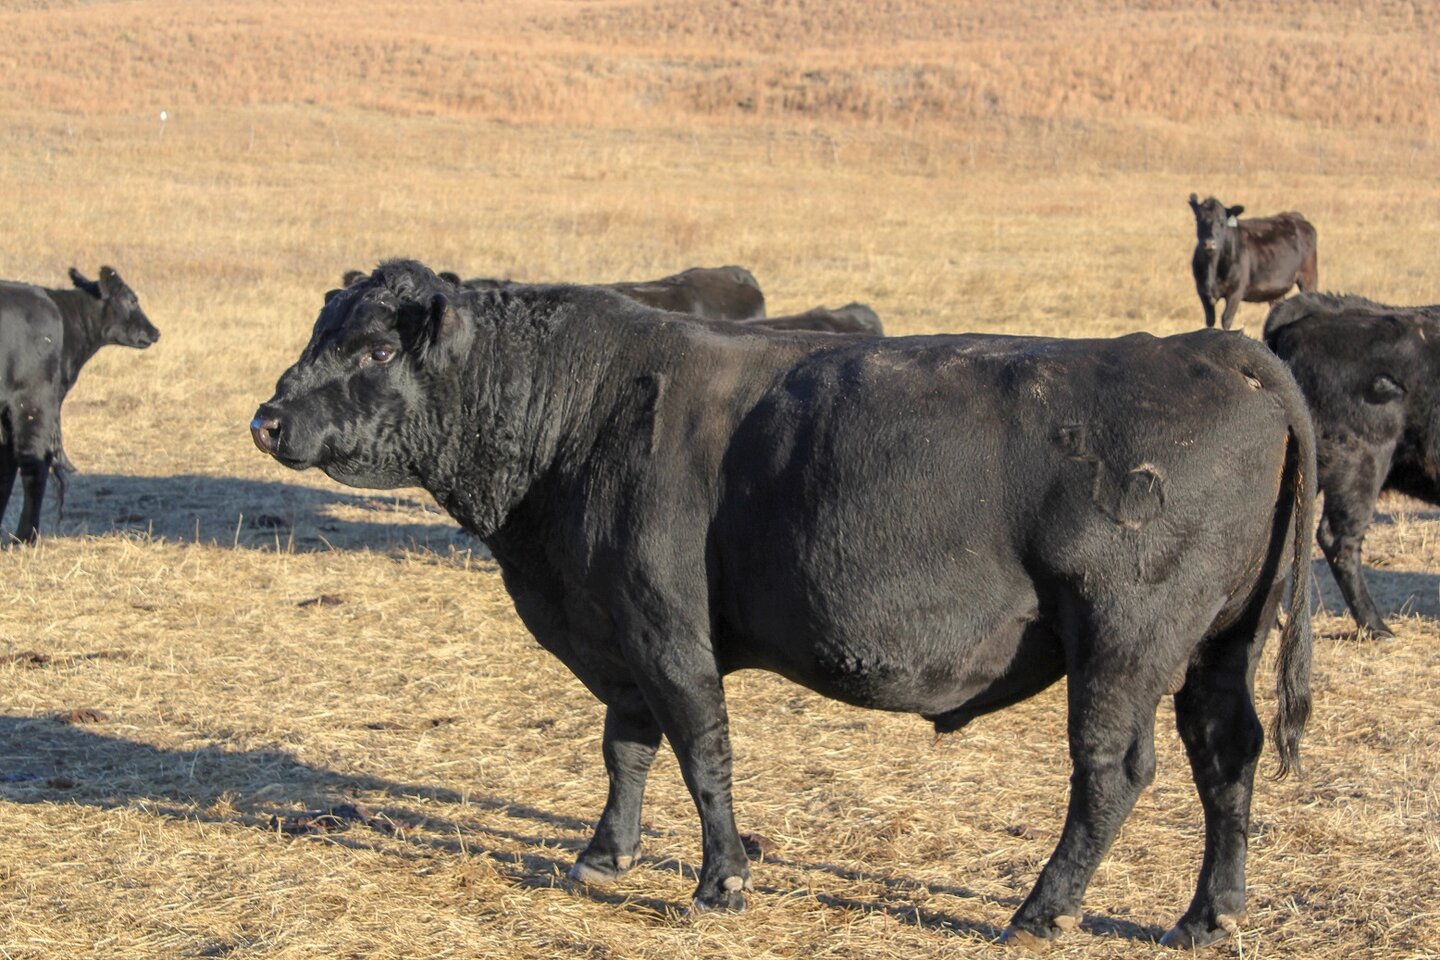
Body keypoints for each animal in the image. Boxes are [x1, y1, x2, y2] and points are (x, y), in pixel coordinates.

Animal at [253, 260, 1314, 949]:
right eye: (318, 332)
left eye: (377, 348)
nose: (267, 419)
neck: (582, 409)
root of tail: (1204, 349)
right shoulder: (619, 630)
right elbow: (626, 747)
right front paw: (604, 855)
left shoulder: (668, 632)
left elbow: (701, 751)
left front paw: (721, 879)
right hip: (1221, 645)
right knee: (1227, 753)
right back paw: (1208, 915)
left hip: (1124, 642)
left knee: (1112, 771)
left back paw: (1040, 912)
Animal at [1189, 194, 1318, 330]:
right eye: (1198, 219)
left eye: (1222, 221)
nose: (1209, 243)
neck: (1212, 268)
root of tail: (1295, 216)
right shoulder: (1202, 292)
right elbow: (1210, 321)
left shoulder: (1235, 291)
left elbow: (1226, 319)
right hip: (1275, 290)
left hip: (1308, 277)